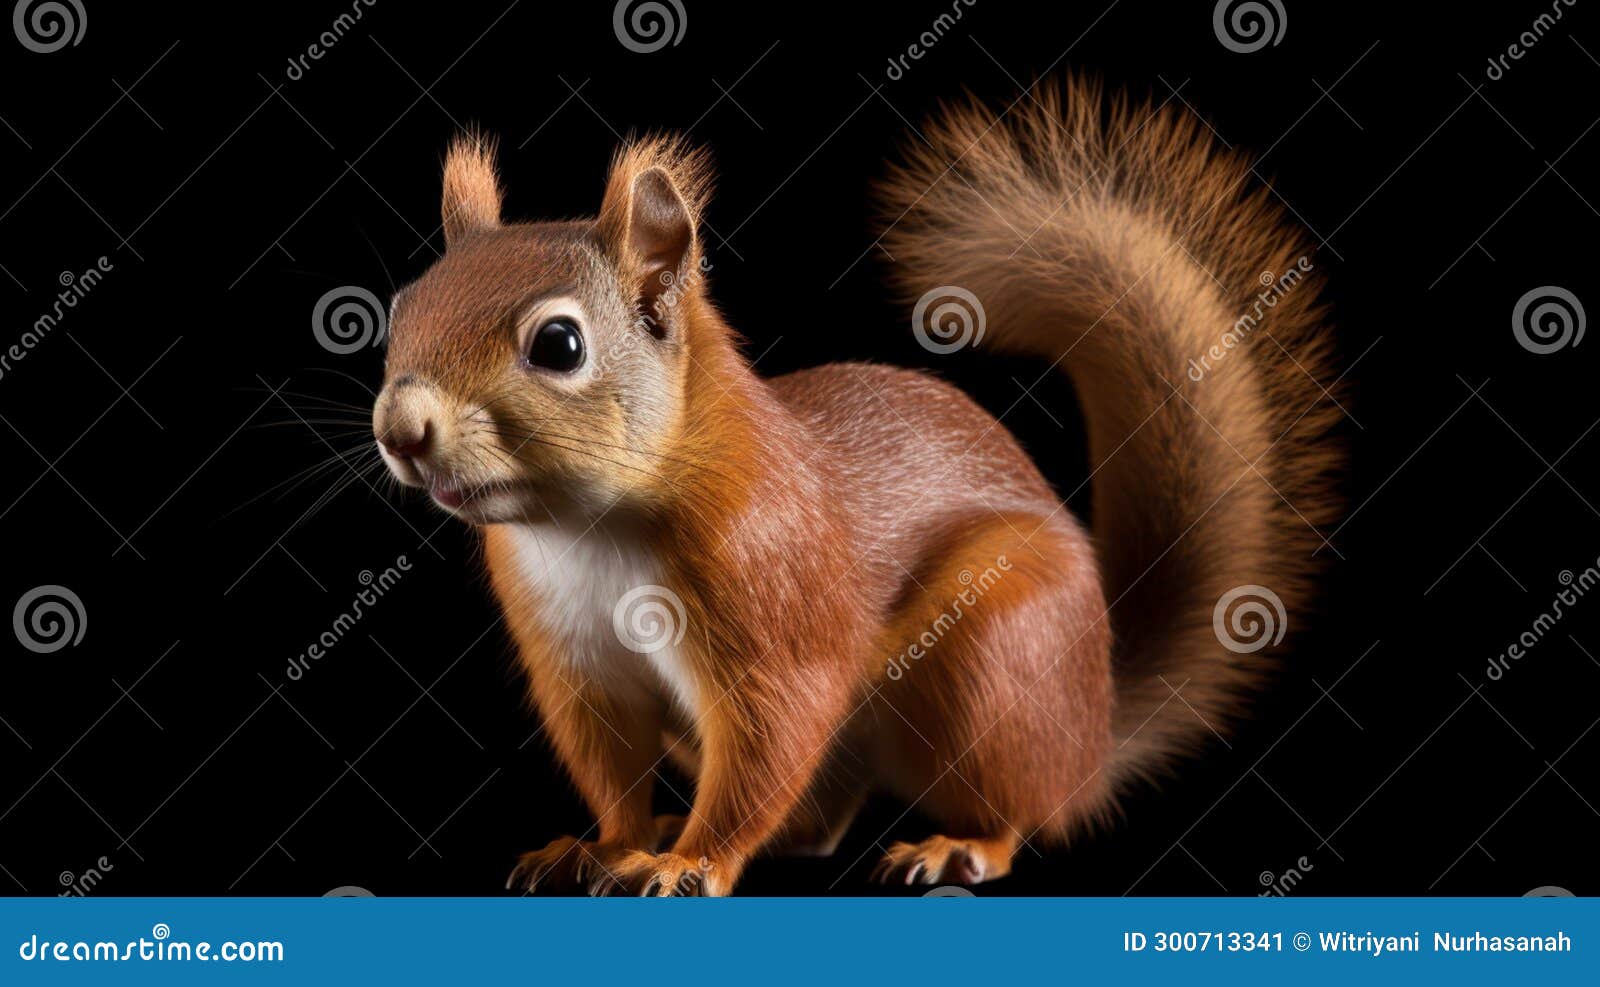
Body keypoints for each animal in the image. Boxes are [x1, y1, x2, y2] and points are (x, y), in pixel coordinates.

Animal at [371, 77, 1345, 896]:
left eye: (559, 344)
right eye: (402, 307)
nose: (400, 428)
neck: (588, 529)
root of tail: (1093, 732)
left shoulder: (774, 607)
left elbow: (766, 743)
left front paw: (689, 863)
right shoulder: (575, 660)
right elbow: (609, 764)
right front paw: (605, 844)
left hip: (995, 654)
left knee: (1013, 806)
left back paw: (961, 845)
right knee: (817, 817)